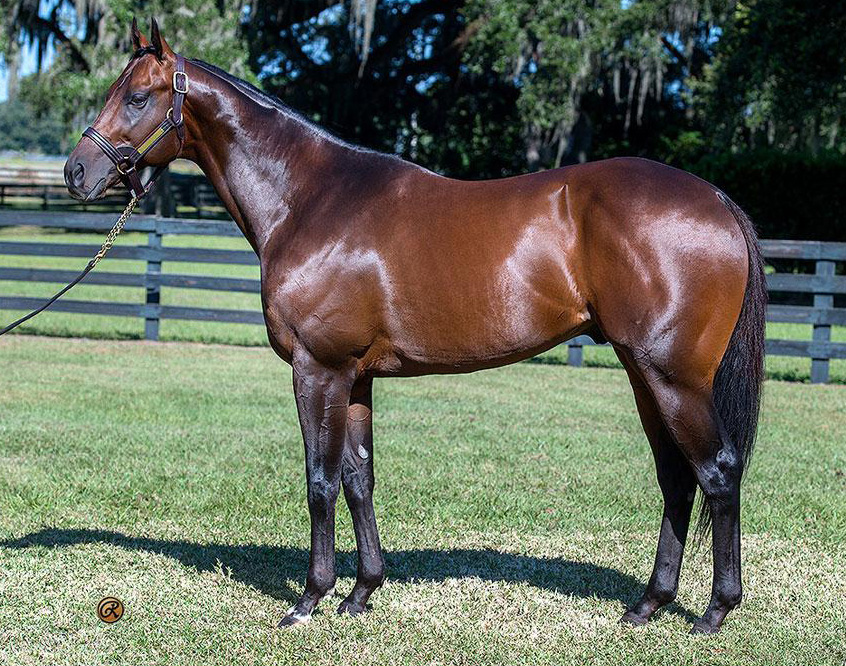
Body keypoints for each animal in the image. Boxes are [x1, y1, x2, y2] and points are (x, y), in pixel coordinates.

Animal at [64, 19, 766, 634]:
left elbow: (320, 481)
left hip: (674, 378)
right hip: (645, 376)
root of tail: (717, 201)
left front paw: (309, 600)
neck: (311, 200)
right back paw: (648, 605)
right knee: (677, 479)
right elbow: (358, 478)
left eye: (137, 96)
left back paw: (714, 612)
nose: (76, 173)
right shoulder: (355, 378)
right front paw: (361, 592)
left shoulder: (318, 369)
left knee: (717, 471)